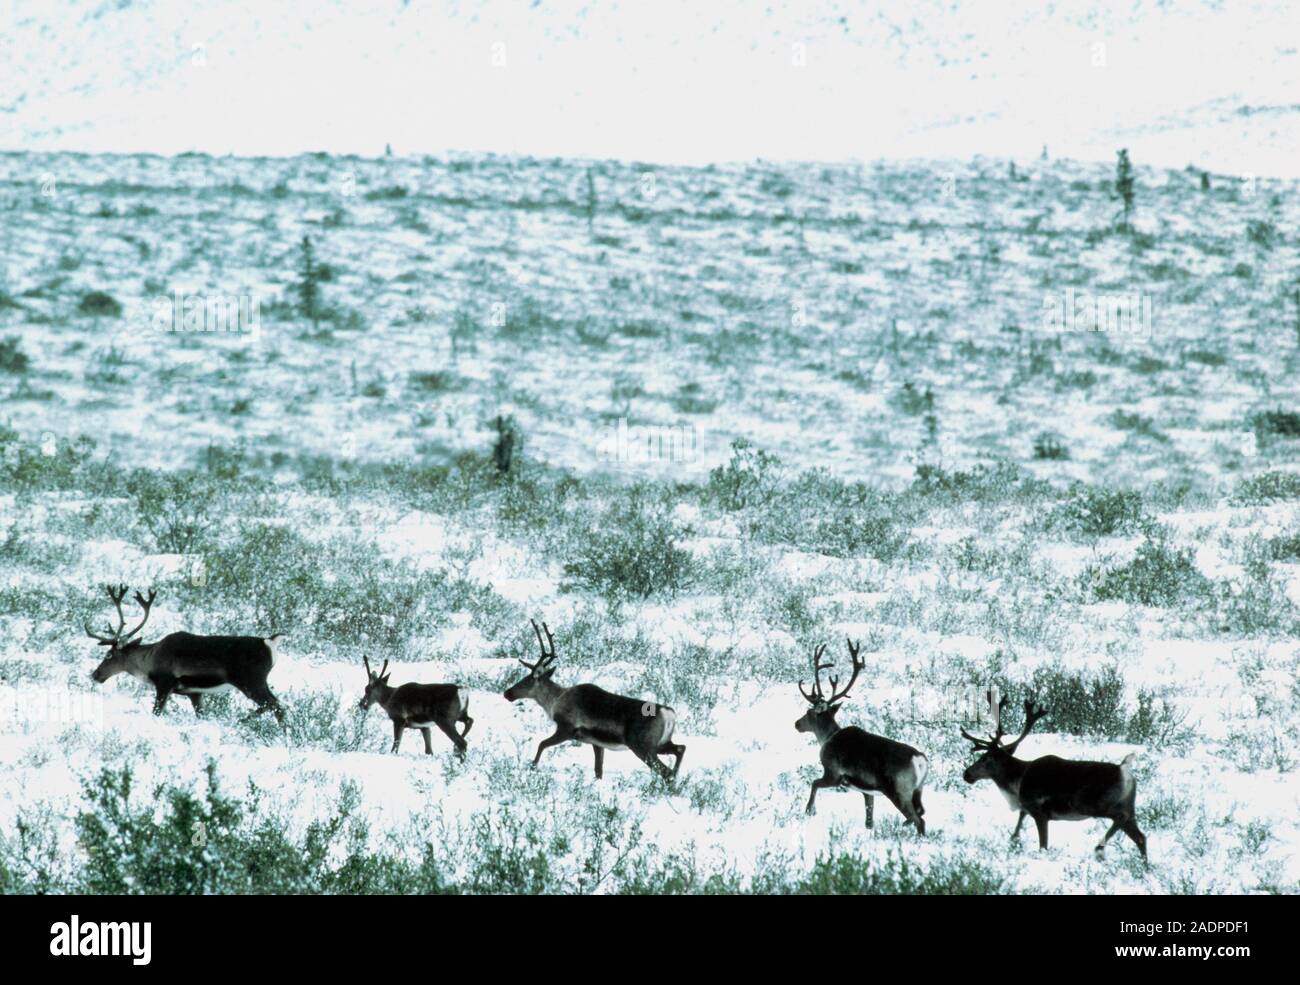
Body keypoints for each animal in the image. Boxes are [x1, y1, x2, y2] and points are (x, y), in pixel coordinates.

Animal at [85, 585, 284, 722]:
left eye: (108, 655)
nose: (95, 675)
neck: (149, 661)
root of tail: (270, 641)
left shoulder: (164, 684)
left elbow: (156, 713)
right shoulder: (194, 693)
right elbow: (201, 715)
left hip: (251, 682)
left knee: (277, 706)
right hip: (258, 682)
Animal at [503, 619, 685, 782]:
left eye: (527, 680)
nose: (507, 693)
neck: (555, 701)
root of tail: (668, 713)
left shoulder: (566, 729)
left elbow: (541, 744)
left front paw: (532, 767)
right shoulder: (596, 743)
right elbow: (598, 770)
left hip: (643, 746)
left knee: (666, 771)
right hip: (660, 744)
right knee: (680, 749)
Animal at [796, 638, 929, 833]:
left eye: (809, 712)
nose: (796, 724)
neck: (827, 737)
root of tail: (919, 760)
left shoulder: (833, 774)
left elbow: (814, 783)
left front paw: (809, 810)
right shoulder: (867, 791)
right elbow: (869, 819)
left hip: (899, 791)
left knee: (918, 819)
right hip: (918, 789)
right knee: (921, 813)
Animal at [961, 695, 1147, 863]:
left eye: (985, 758)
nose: (967, 774)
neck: (1016, 783)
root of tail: (1124, 769)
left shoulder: (1039, 812)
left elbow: (1043, 844)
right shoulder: (1026, 809)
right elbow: (1016, 831)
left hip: (1090, 803)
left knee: (1120, 818)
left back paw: (1099, 847)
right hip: (1129, 806)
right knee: (1140, 837)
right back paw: (1143, 868)